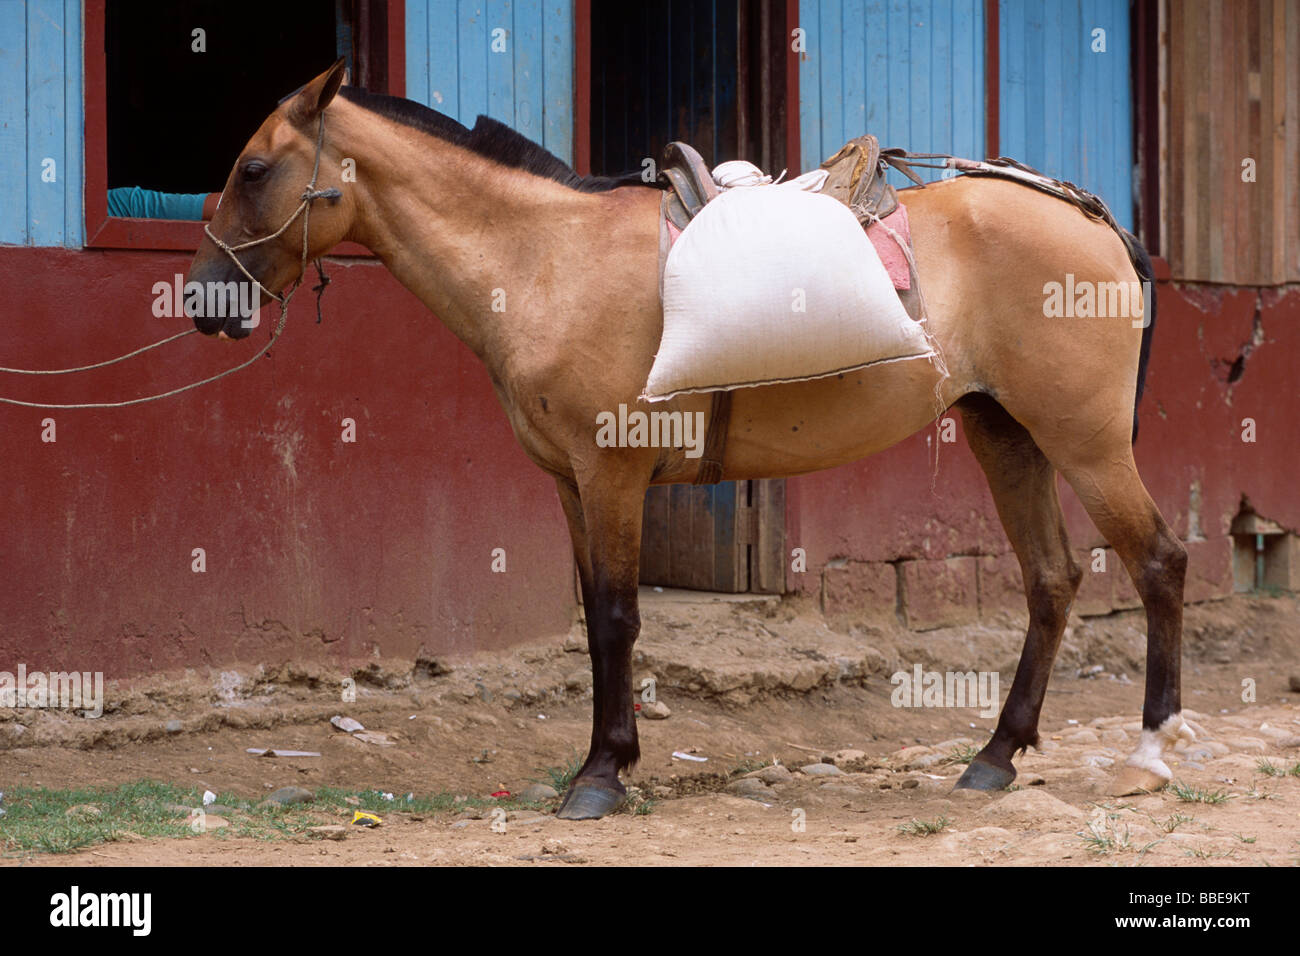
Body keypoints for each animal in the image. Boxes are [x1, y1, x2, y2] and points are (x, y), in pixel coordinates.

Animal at [187, 59, 1188, 820]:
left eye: (252, 169)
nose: (200, 296)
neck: (543, 258)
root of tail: (1093, 217)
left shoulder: (613, 473)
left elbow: (618, 618)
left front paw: (600, 777)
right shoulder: (570, 481)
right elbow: (597, 622)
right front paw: (605, 761)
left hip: (1087, 441)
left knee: (1157, 562)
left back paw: (1152, 749)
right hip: (1006, 433)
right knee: (1052, 579)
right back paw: (996, 755)